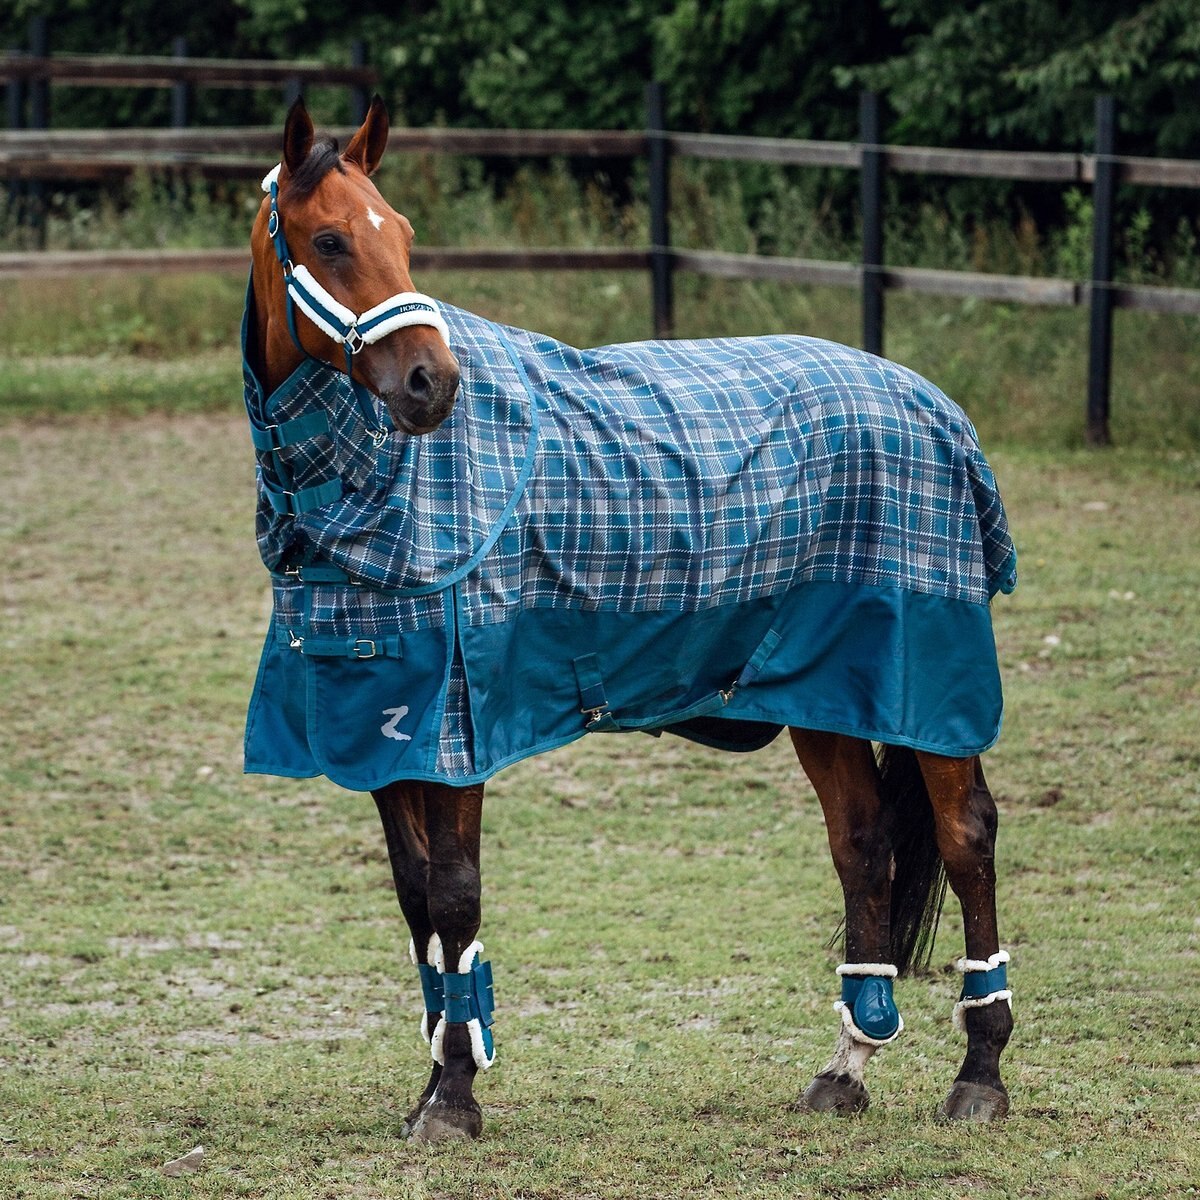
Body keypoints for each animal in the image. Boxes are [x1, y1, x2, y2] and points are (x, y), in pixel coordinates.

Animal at [241, 97, 1016, 1143]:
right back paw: (846, 1065)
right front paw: (432, 1085)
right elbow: (418, 910)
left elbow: (455, 898)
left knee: (966, 838)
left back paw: (980, 1071)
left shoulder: (457, 729)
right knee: (861, 846)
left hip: (926, 687)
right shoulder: (384, 730)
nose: (431, 384)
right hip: (823, 694)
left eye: (401, 235)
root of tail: (936, 406)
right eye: (329, 240)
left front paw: (455, 1096)